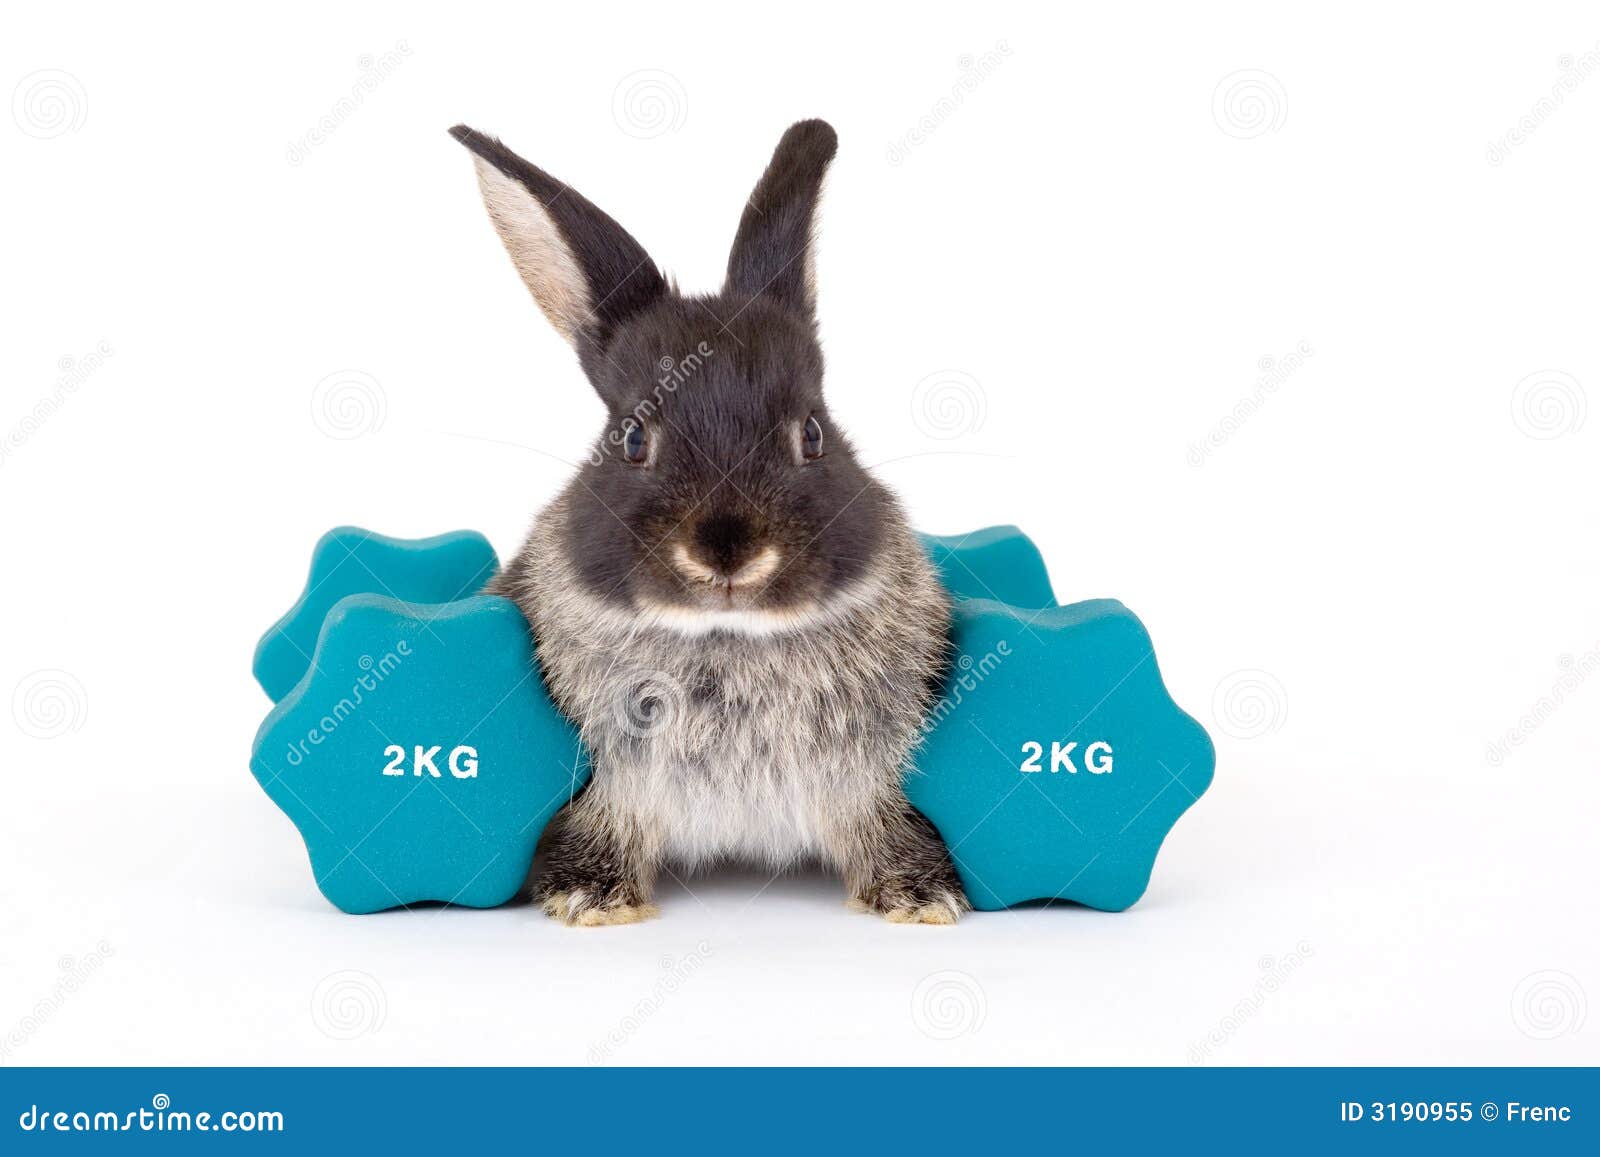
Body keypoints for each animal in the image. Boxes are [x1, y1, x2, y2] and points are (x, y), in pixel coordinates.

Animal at [450, 118, 968, 925]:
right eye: (633, 438)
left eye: (812, 434)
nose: (728, 553)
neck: (728, 640)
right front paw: (591, 896)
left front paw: (919, 896)